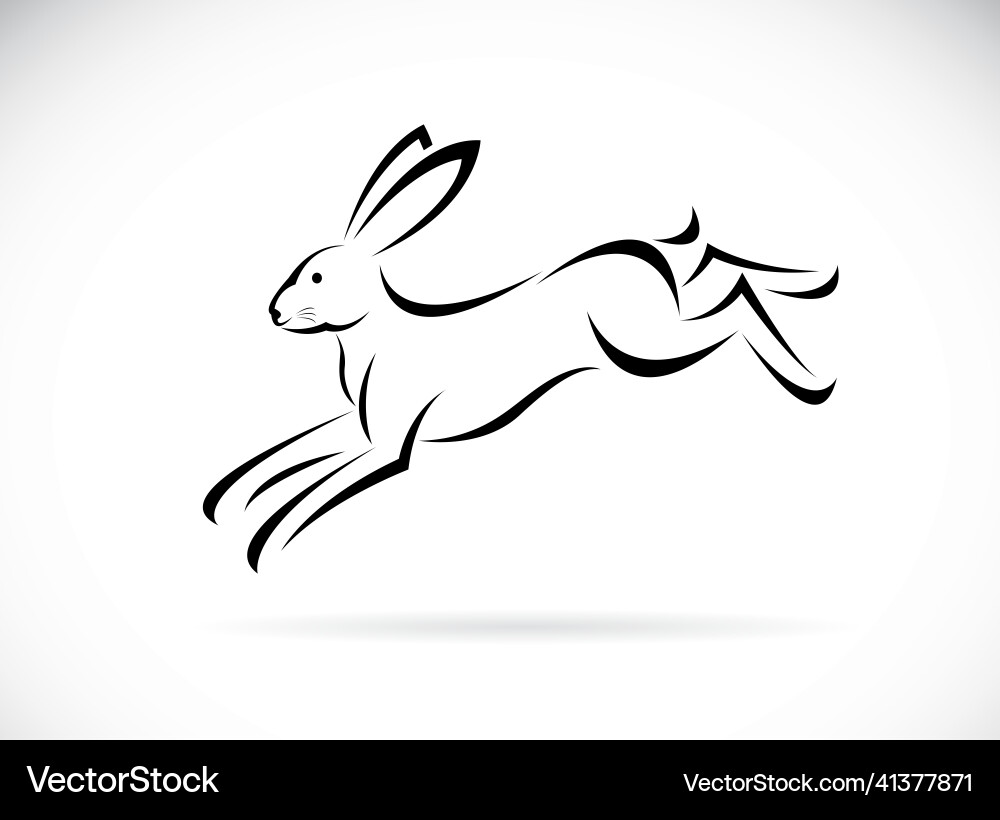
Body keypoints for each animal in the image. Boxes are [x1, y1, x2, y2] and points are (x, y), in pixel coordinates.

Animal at [204, 125, 837, 571]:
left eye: (315, 276)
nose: (274, 312)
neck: (378, 340)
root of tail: (651, 251)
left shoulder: (389, 446)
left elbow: (319, 489)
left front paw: (266, 543)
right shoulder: (359, 425)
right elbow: (289, 455)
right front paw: (227, 500)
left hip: (645, 345)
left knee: (738, 296)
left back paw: (806, 378)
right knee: (731, 280)